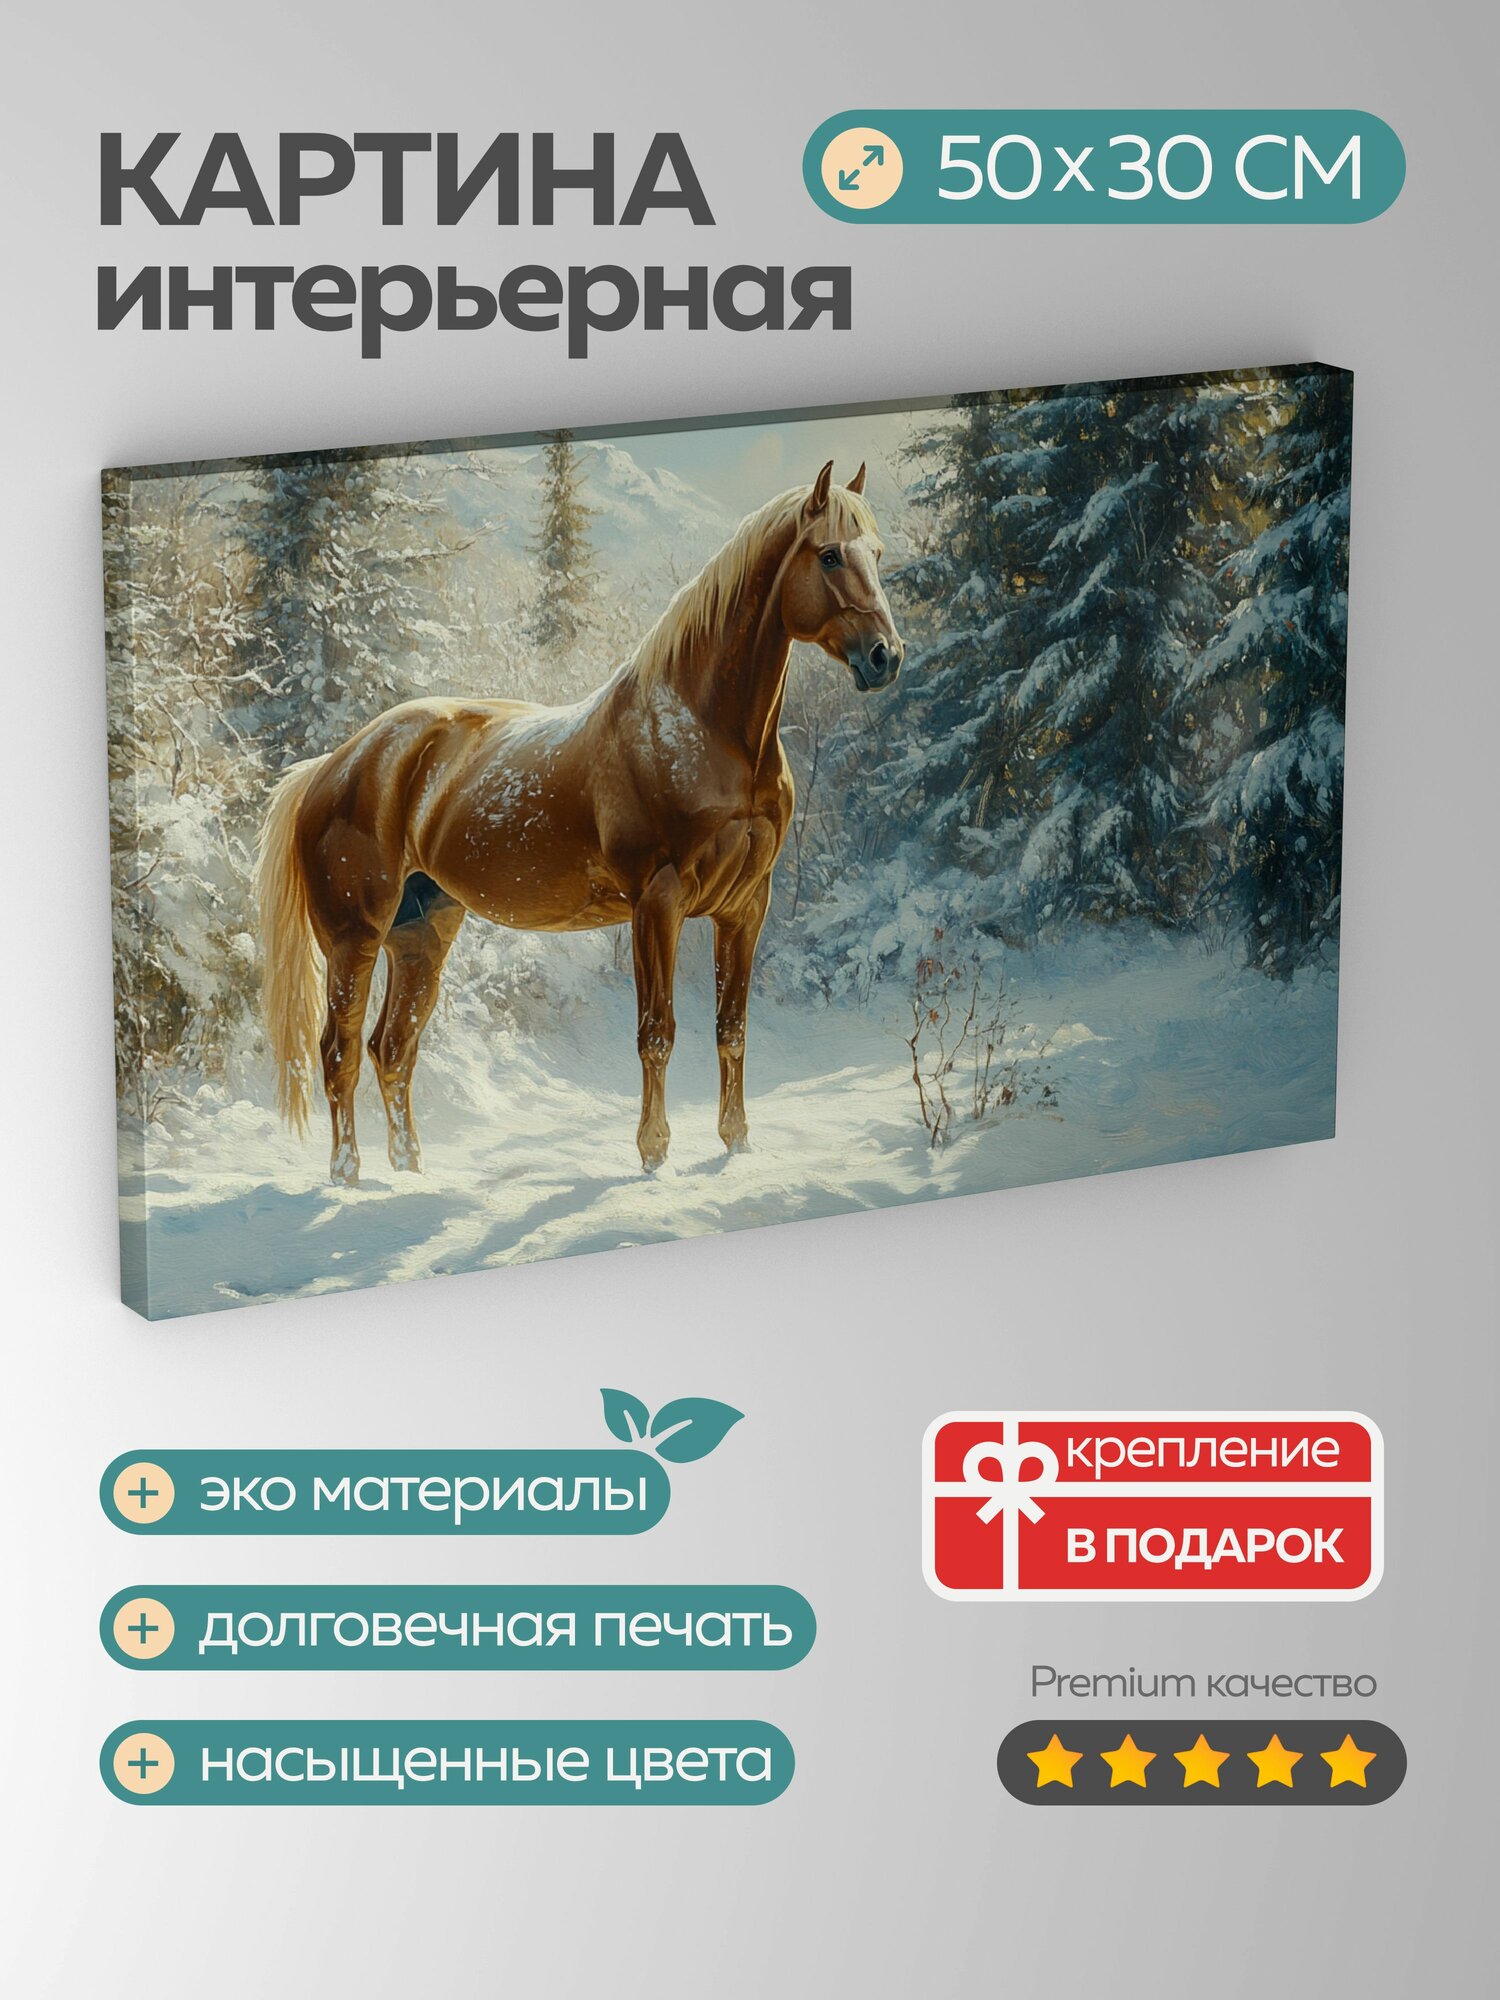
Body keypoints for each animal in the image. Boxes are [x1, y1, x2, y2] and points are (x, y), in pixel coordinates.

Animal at [255, 460, 903, 1185]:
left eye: (877, 555)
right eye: (829, 555)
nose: (886, 656)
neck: (706, 731)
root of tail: (334, 763)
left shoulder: (745, 907)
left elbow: (731, 1028)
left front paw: (736, 1145)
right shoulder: (657, 904)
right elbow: (657, 1033)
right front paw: (654, 1155)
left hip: (420, 936)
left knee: (391, 1049)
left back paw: (411, 1171)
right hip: (352, 939)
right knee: (337, 1053)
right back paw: (348, 1175)